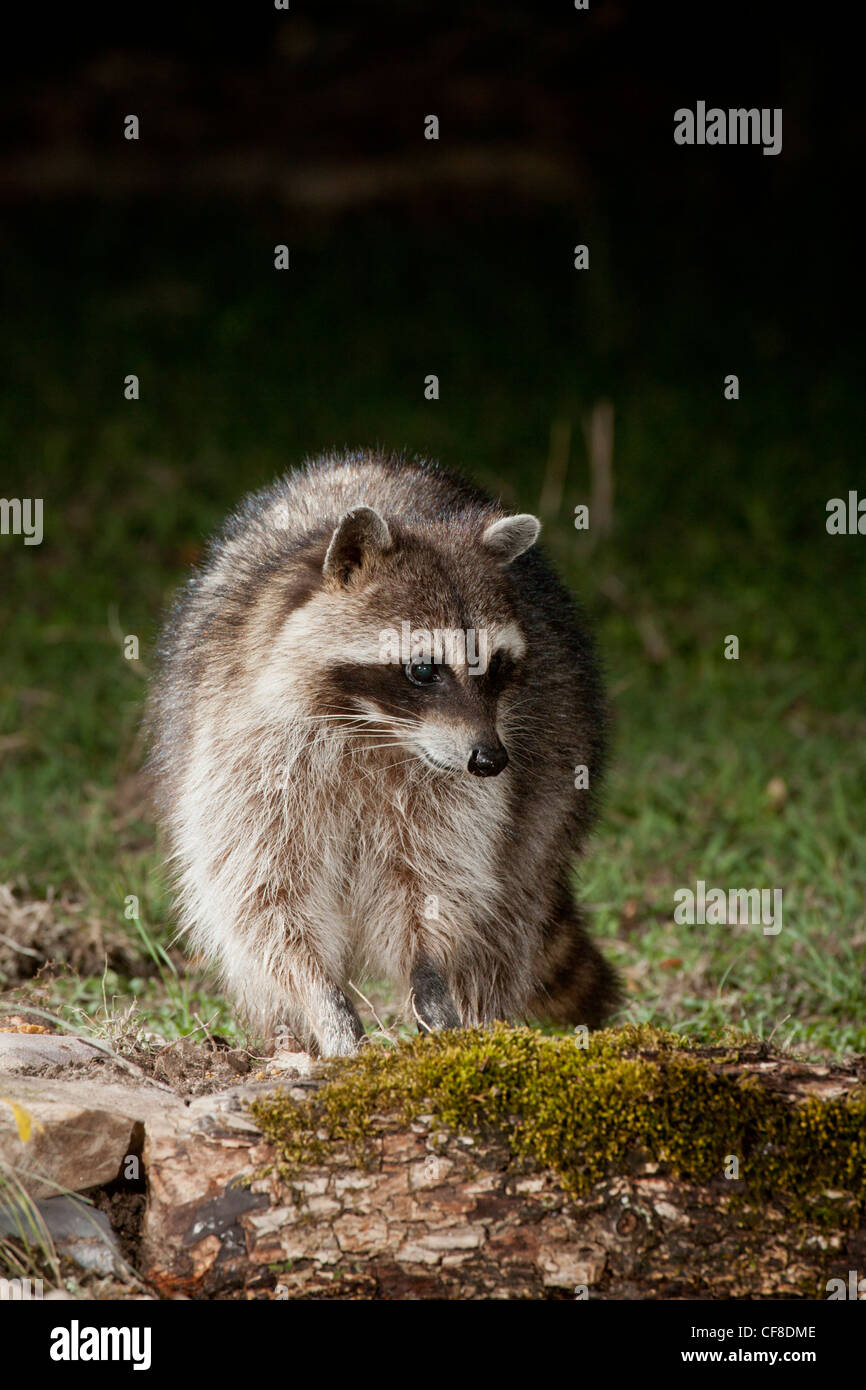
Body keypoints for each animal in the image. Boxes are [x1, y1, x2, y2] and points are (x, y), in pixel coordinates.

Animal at [147, 449, 620, 1055]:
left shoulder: (461, 791)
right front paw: (325, 1003)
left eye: (495, 668)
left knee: (510, 909)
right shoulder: (244, 744)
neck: (377, 728)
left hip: (558, 766)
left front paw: (432, 977)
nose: (490, 761)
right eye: (423, 669)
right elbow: (264, 896)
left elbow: (434, 885)